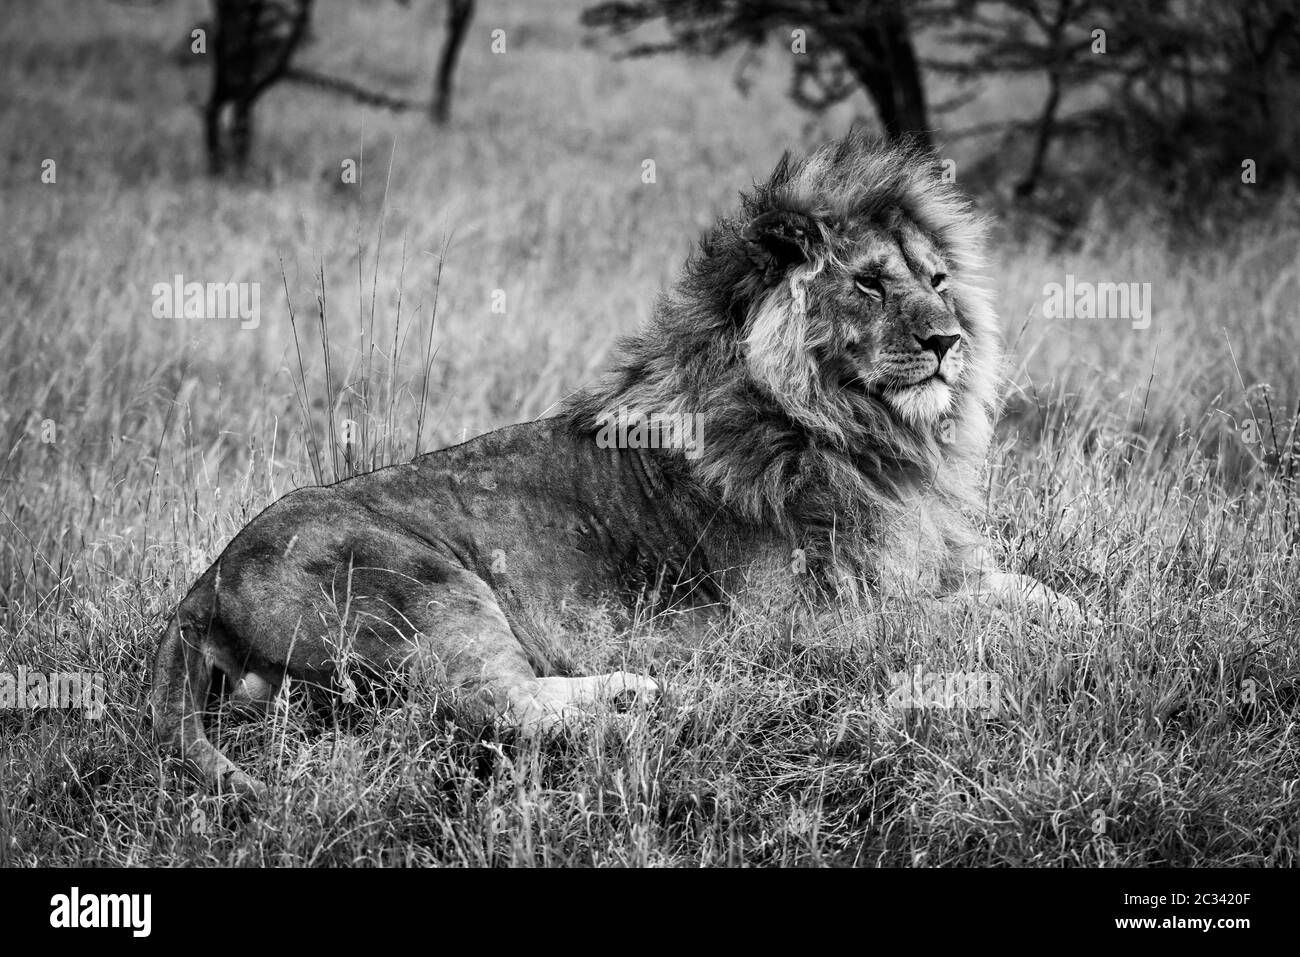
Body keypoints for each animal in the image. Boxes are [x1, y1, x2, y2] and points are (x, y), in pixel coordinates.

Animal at [152, 131, 1084, 800]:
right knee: (491, 707)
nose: (948, 341)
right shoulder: (805, 624)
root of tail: (204, 583)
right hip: (421, 585)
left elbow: (1037, 595)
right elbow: (958, 620)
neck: (868, 440)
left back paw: (644, 690)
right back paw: (658, 711)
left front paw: (1074, 615)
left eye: (939, 279)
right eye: (870, 284)